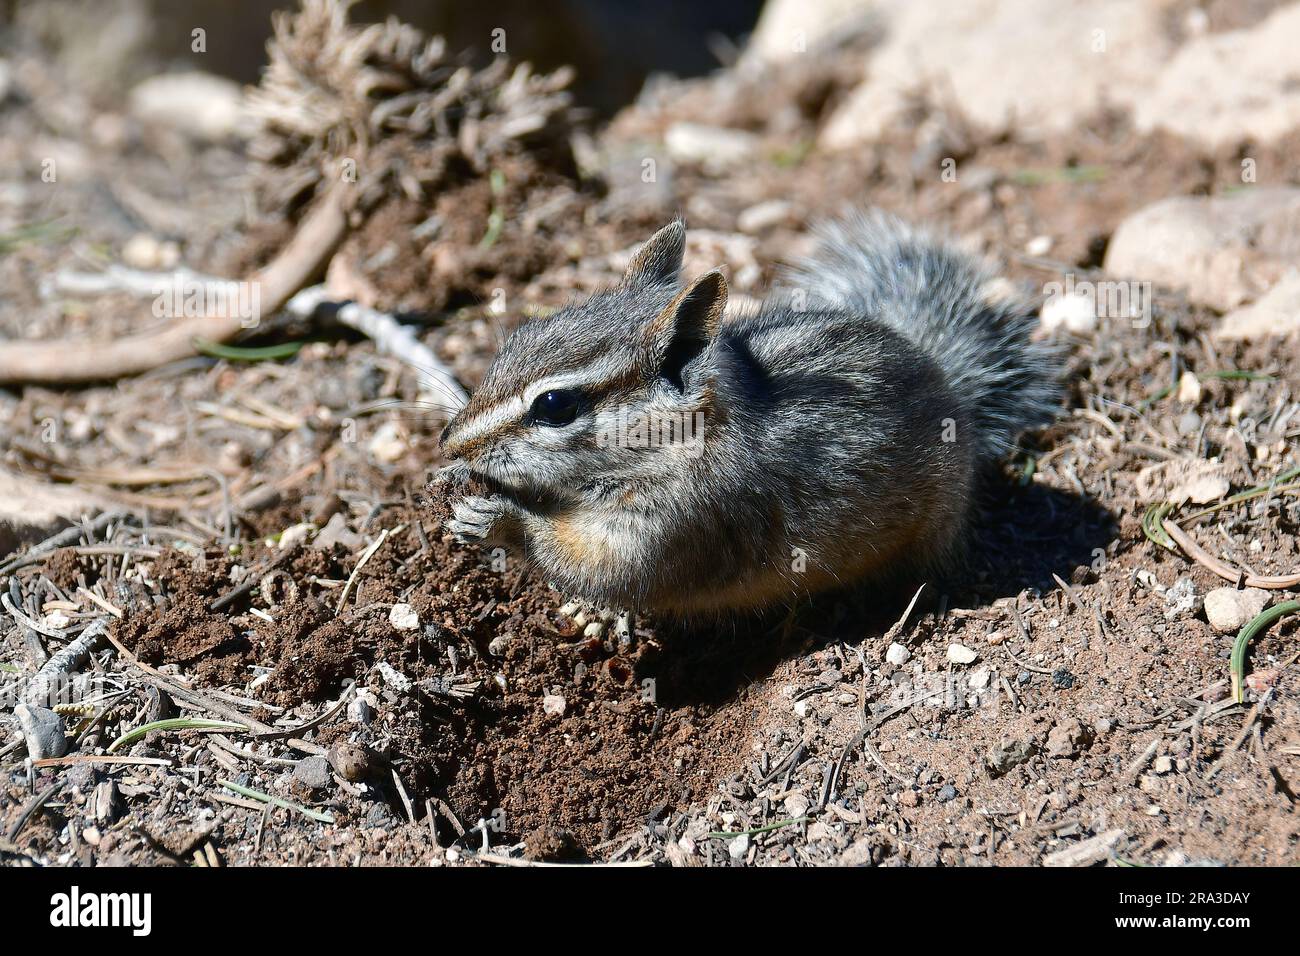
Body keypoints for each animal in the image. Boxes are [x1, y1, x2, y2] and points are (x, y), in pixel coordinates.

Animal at [438, 212, 1060, 621]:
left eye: (555, 405)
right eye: (519, 334)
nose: (448, 442)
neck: (685, 438)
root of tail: (950, 384)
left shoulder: (684, 519)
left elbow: (606, 566)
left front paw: (501, 521)